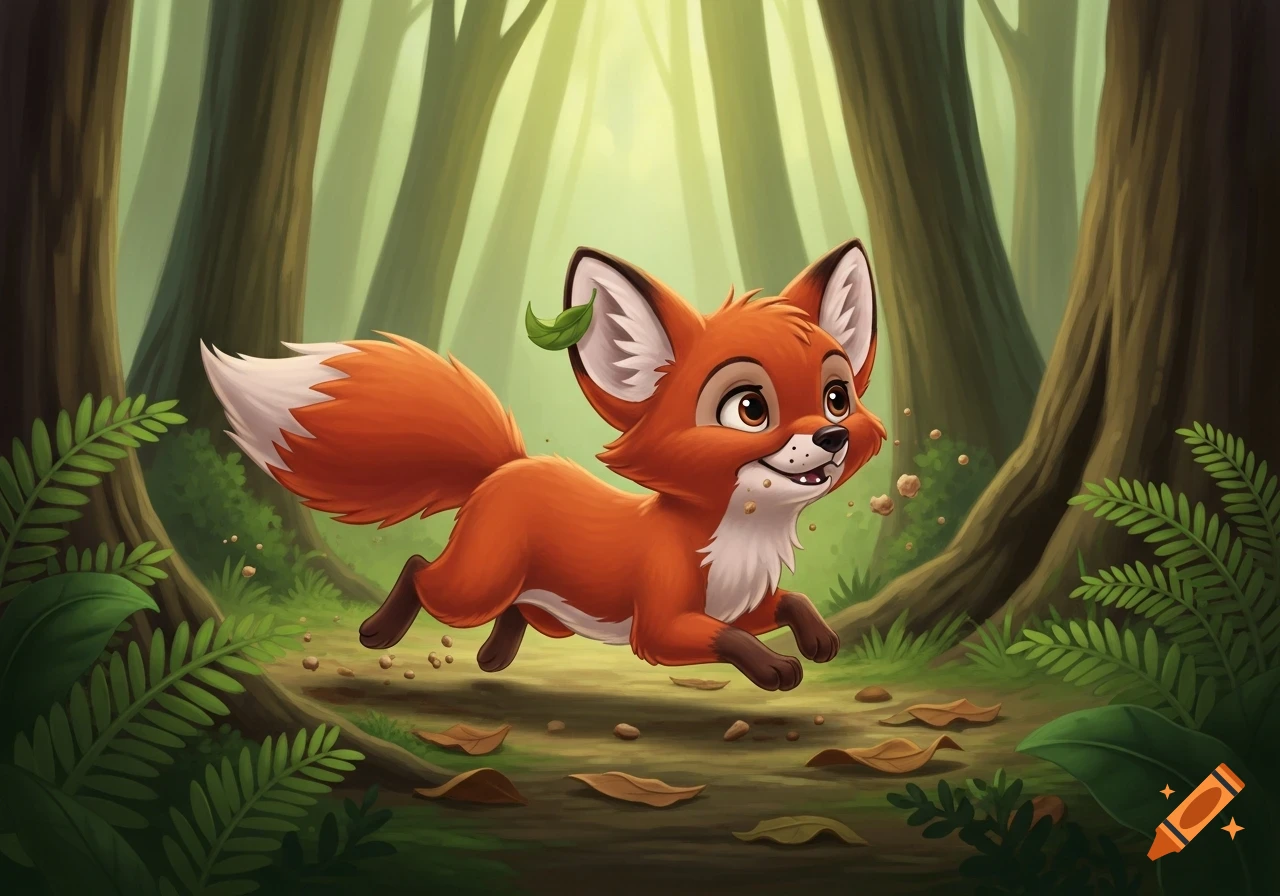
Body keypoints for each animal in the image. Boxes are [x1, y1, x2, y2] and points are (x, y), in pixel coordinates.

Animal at [201, 239, 885, 691]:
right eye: (749, 409)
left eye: (837, 397)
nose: (831, 437)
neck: (741, 537)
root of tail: (507, 466)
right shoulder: (661, 625)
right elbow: (730, 639)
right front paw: (775, 668)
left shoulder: (741, 601)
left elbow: (791, 602)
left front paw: (819, 638)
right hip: (475, 584)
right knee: (421, 570)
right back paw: (381, 631)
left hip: (545, 607)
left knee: (512, 612)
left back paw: (492, 659)